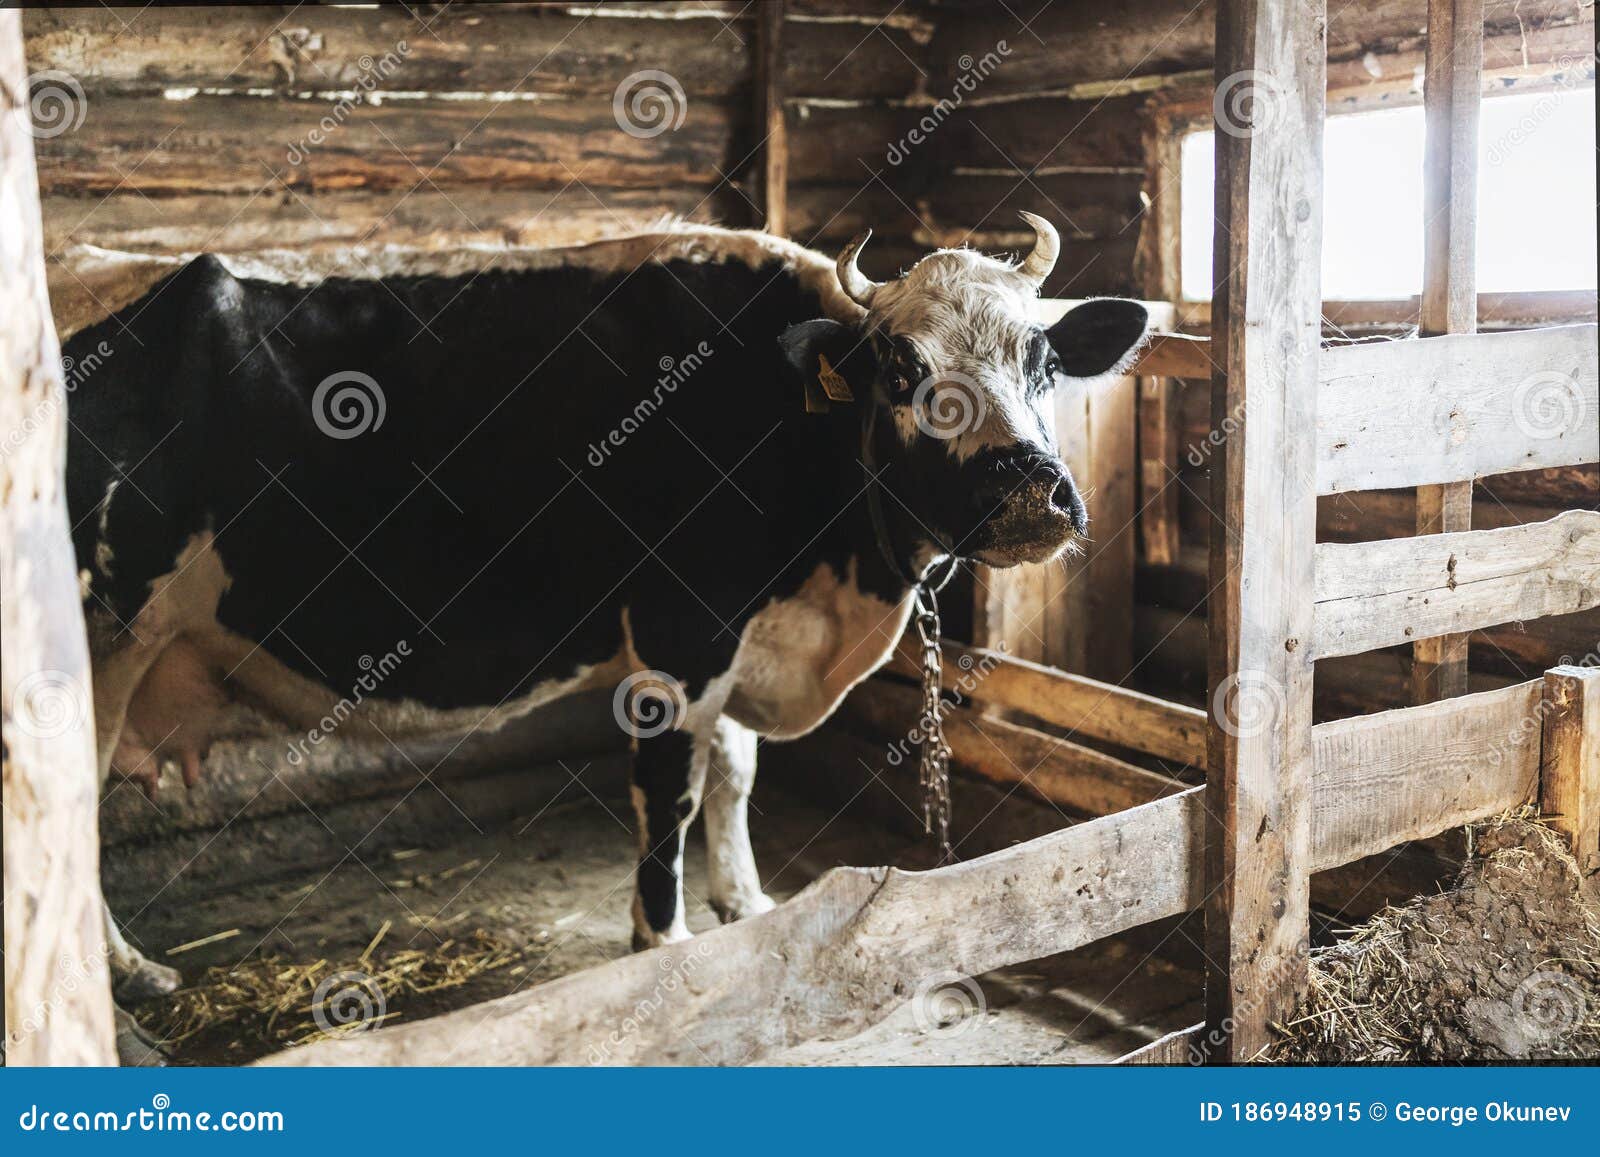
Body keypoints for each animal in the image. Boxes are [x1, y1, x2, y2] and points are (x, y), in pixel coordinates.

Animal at [59, 215, 1148, 1062]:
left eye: (1045, 359)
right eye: (902, 368)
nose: (1029, 493)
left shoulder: (742, 636)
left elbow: (735, 769)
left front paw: (747, 904)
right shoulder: (680, 628)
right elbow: (671, 790)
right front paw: (662, 944)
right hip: (101, 635)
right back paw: (129, 981)